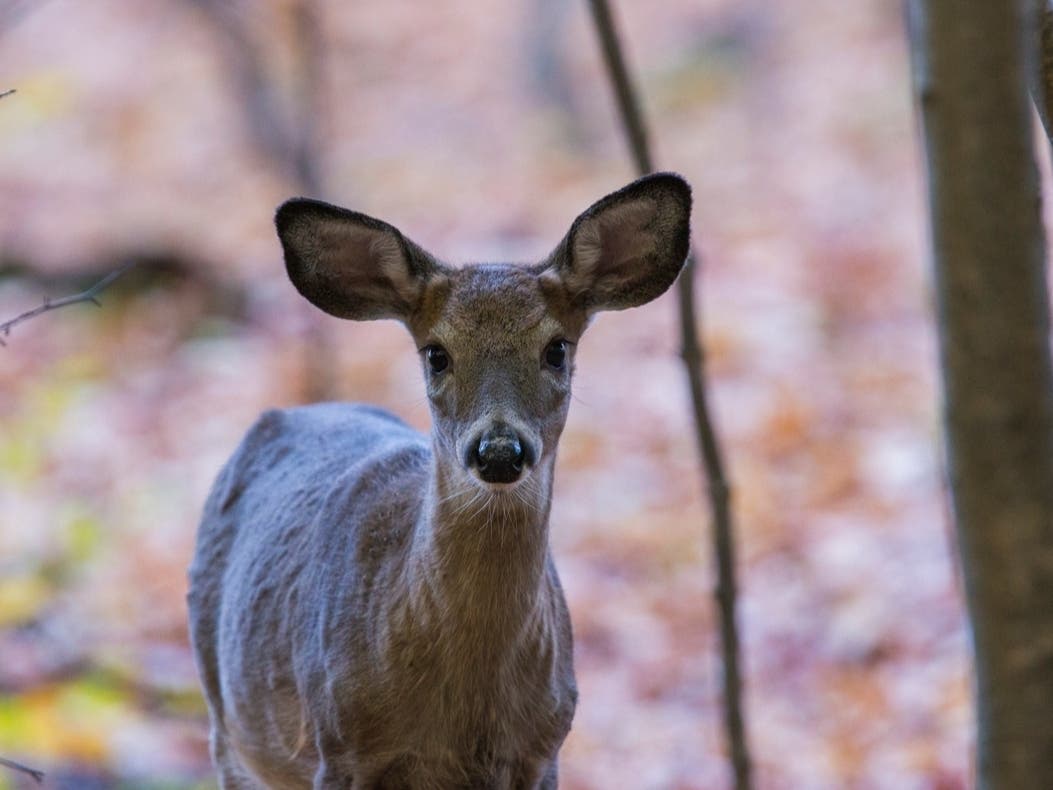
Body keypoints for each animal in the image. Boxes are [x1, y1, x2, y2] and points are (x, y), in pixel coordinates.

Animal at [187, 172, 692, 789]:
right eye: (436, 354)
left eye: (556, 349)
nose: (498, 451)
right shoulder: (340, 746)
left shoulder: (545, 747)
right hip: (229, 729)